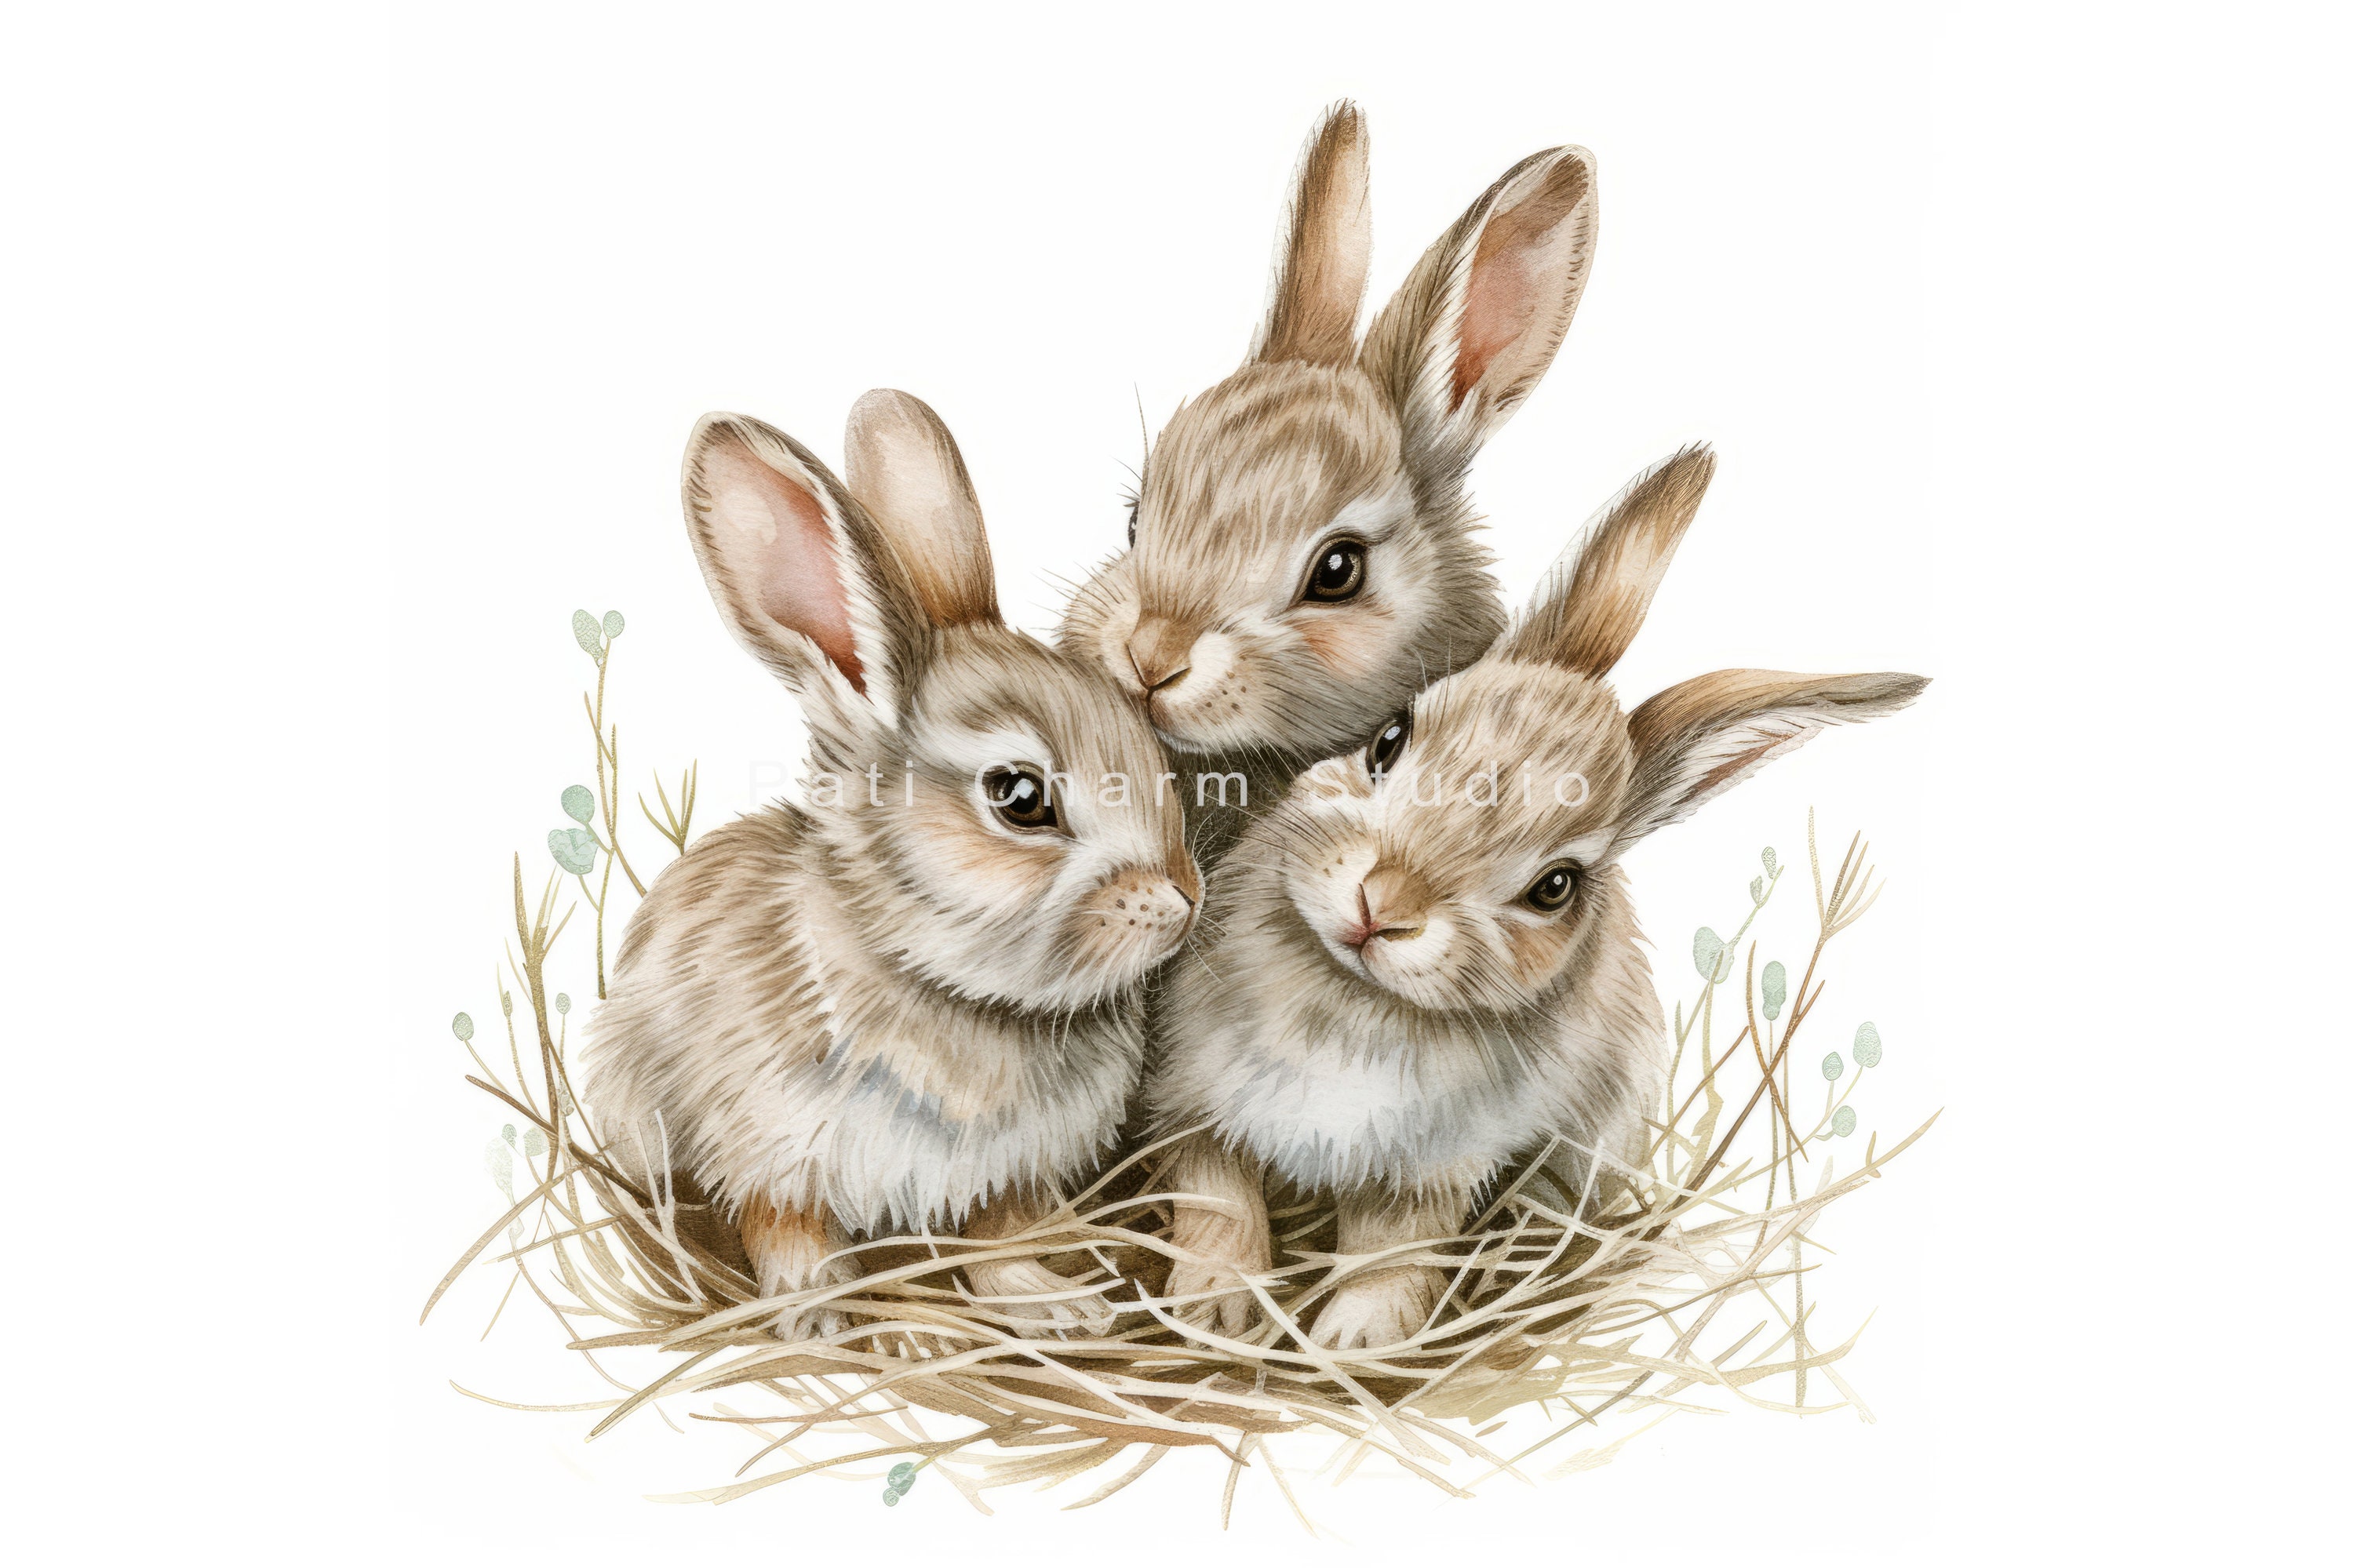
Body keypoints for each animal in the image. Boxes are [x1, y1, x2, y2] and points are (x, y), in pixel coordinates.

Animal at [582, 390, 1201, 1338]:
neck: (945, 985)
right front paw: (813, 1313)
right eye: (1020, 797)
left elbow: (999, 1240)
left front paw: (1058, 1307)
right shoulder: (766, 1144)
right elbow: (785, 1224)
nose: (1181, 898)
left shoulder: (1003, 1176)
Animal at [1143, 445, 1927, 1348]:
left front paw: (1358, 1340)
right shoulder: (1194, 1100)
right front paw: (1217, 1305)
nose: (1384, 904)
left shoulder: (1428, 1170)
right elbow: (1216, 1194)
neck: (1351, 995)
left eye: (1556, 886)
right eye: (1387, 740)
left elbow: (1389, 1250)